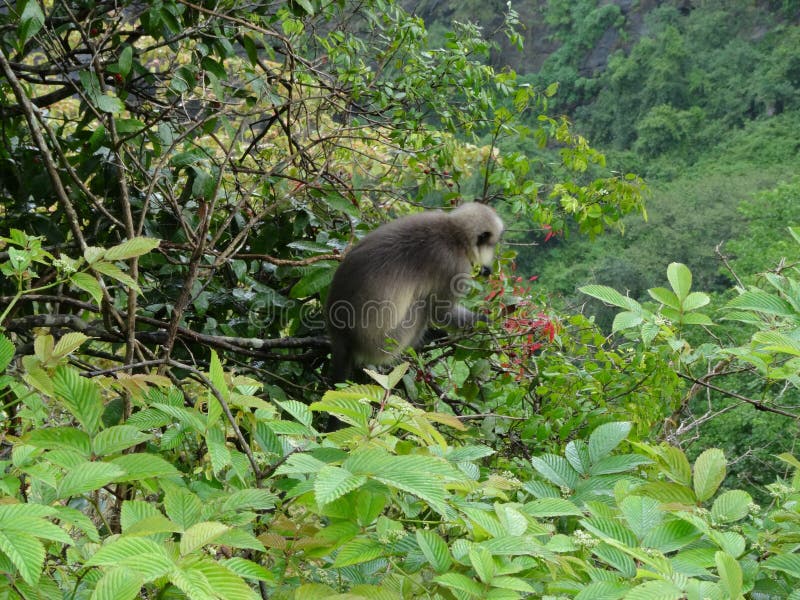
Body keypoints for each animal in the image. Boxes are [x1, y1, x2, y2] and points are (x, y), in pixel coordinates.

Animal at [324, 202, 504, 382]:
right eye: (493, 245)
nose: (492, 257)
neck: (453, 233)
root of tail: (341, 335)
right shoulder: (456, 267)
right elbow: (441, 314)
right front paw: (484, 321)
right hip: (387, 343)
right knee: (421, 305)